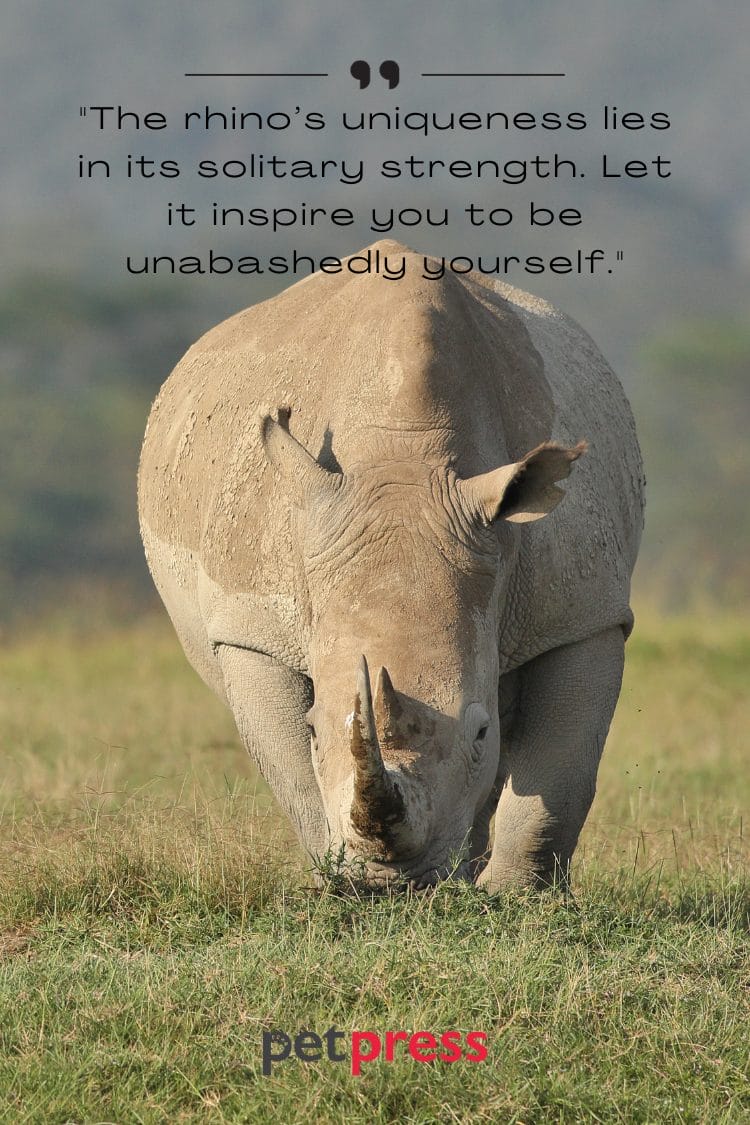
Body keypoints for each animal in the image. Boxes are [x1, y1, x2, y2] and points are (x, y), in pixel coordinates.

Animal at [138, 239, 644, 891]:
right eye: (313, 729)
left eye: (481, 732)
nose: (393, 883)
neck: (405, 460)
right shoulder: (250, 628)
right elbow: (292, 773)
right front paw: (336, 879)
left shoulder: (582, 611)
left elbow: (560, 774)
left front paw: (516, 896)